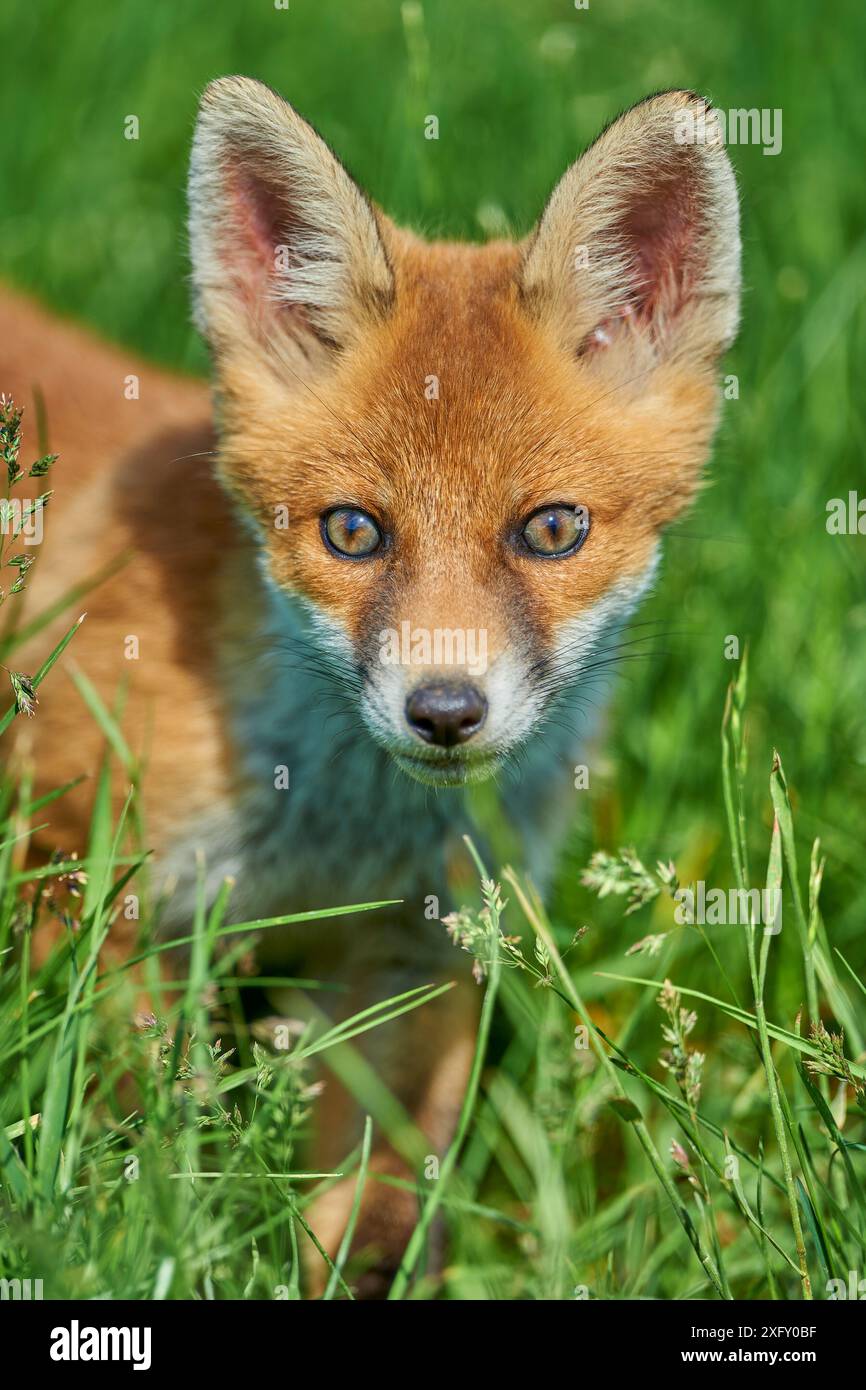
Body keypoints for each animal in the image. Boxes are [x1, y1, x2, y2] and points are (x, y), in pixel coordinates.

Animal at [2, 79, 740, 1295]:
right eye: (353, 531)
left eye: (551, 530)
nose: (443, 712)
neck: (329, 829)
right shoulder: (76, 876)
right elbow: (140, 1146)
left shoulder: (415, 950)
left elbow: (377, 1214)